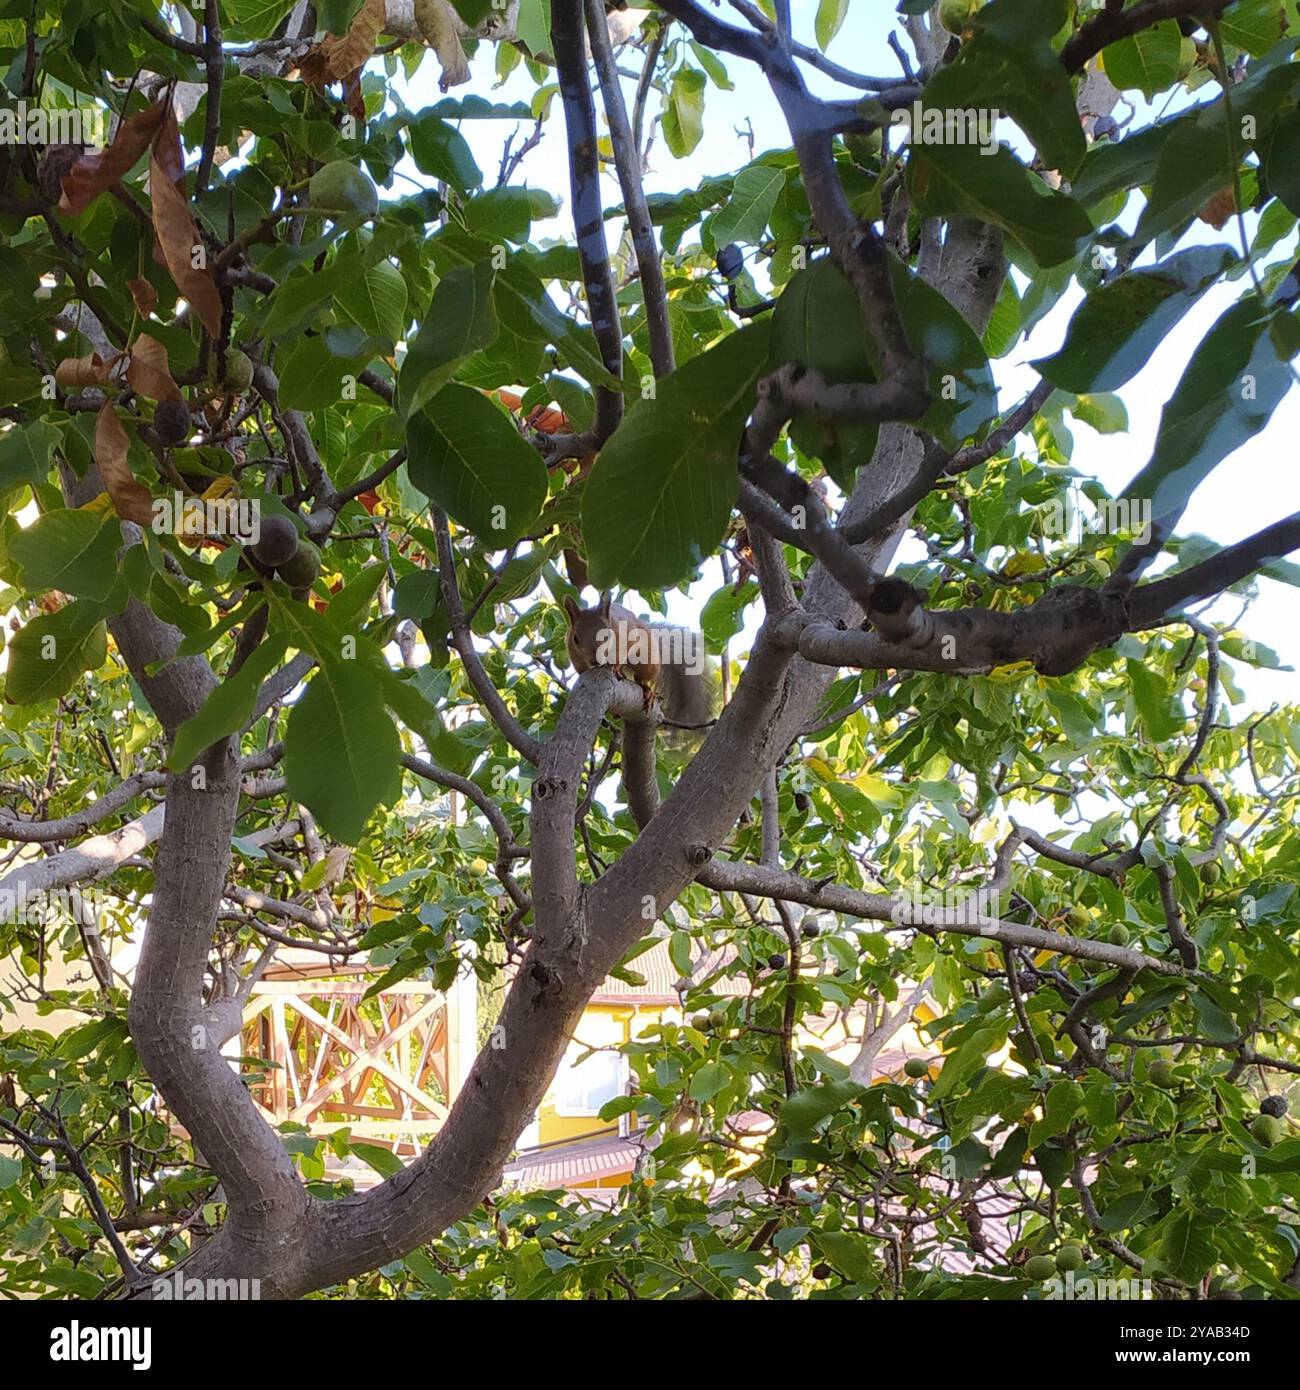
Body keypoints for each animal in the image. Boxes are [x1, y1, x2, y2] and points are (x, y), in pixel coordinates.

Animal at [563, 593, 714, 728]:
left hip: (648, 662)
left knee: (641, 678)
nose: (594, 661)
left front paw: (616, 669)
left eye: (606, 635)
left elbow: (621, 658)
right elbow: (581, 669)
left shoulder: (626, 640)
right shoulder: (575, 656)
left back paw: (647, 691)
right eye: (575, 639)